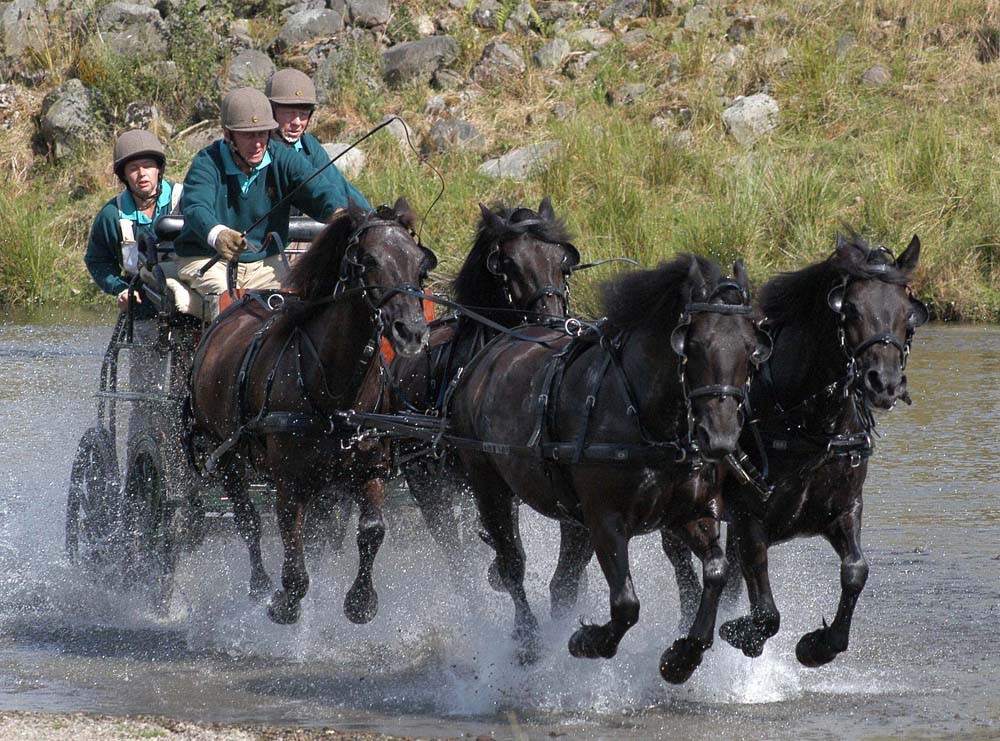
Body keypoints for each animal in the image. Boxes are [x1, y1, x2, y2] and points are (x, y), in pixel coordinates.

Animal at [187, 198, 436, 625]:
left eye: (420, 264)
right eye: (367, 260)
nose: (413, 331)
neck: (335, 389)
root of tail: (241, 302)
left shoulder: (368, 470)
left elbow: (371, 529)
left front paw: (361, 601)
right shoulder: (290, 480)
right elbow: (291, 546)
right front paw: (284, 602)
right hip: (225, 453)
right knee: (247, 520)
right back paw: (259, 585)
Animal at [447, 255, 772, 683]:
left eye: (752, 349)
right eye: (694, 345)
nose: (720, 438)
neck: (642, 412)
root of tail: (484, 359)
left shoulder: (687, 514)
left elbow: (717, 570)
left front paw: (682, 657)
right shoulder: (605, 520)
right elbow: (626, 604)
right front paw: (587, 641)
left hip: (570, 515)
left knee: (562, 583)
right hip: (489, 486)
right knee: (511, 564)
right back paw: (529, 639)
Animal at [668, 230, 927, 667]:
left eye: (908, 310)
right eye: (850, 308)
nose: (884, 383)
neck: (809, 424)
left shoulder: (844, 508)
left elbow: (856, 571)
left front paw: (818, 645)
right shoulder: (749, 518)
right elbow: (766, 614)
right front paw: (739, 633)